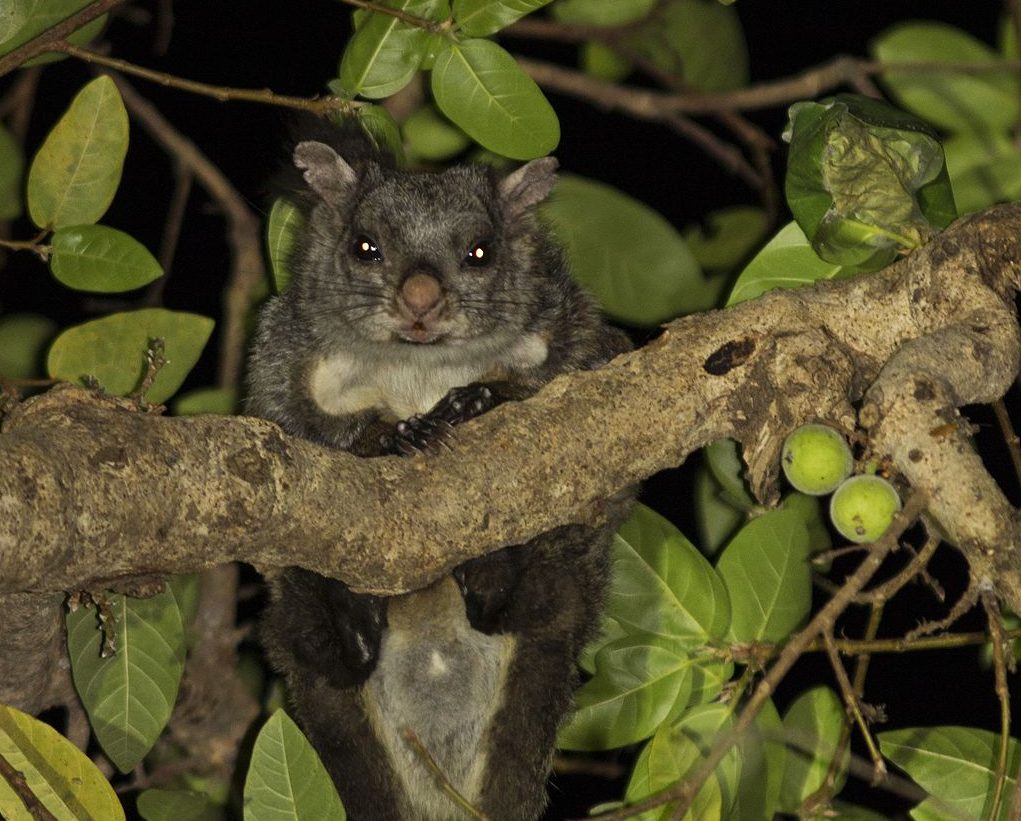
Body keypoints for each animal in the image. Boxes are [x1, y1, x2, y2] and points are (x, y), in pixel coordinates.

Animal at [247, 119, 633, 820]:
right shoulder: (278, 355)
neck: (420, 368)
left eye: (479, 252)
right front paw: (388, 436)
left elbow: (584, 374)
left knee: (531, 602)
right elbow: (294, 423)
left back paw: (494, 573)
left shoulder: (585, 334)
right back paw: (355, 622)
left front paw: (481, 400)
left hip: (570, 586)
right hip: (292, 618)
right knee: (322, 647)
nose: (420, 298)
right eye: (366, 247)